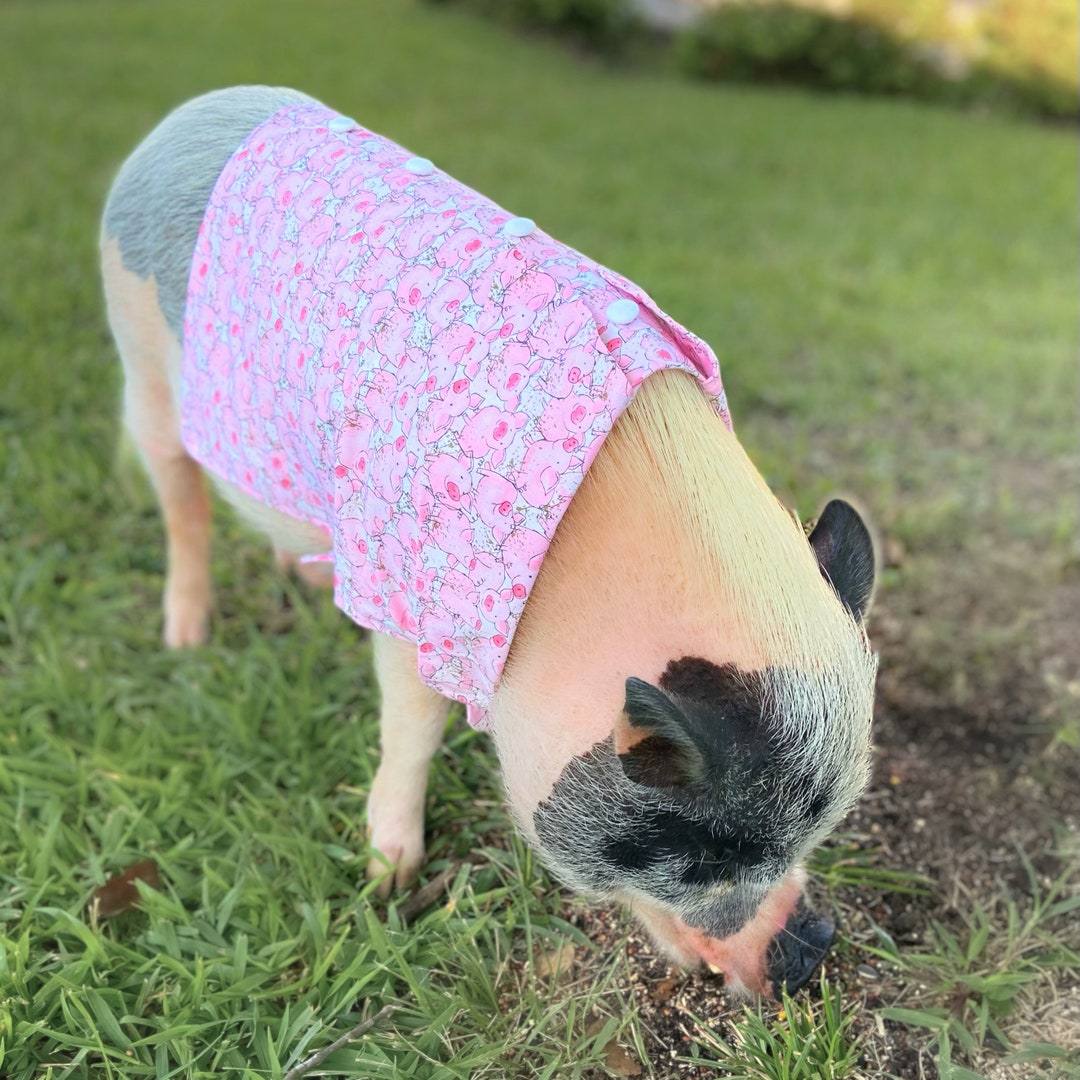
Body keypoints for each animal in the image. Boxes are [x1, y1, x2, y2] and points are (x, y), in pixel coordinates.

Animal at [100, 86, 877, 999]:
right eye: (701, 858)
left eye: (811, 837)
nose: (813, 950)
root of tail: (186, 115)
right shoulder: (411, 604)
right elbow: (413, 724)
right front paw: (387, 878)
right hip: (140, 354)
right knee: (180, 499)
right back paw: (187, 641)